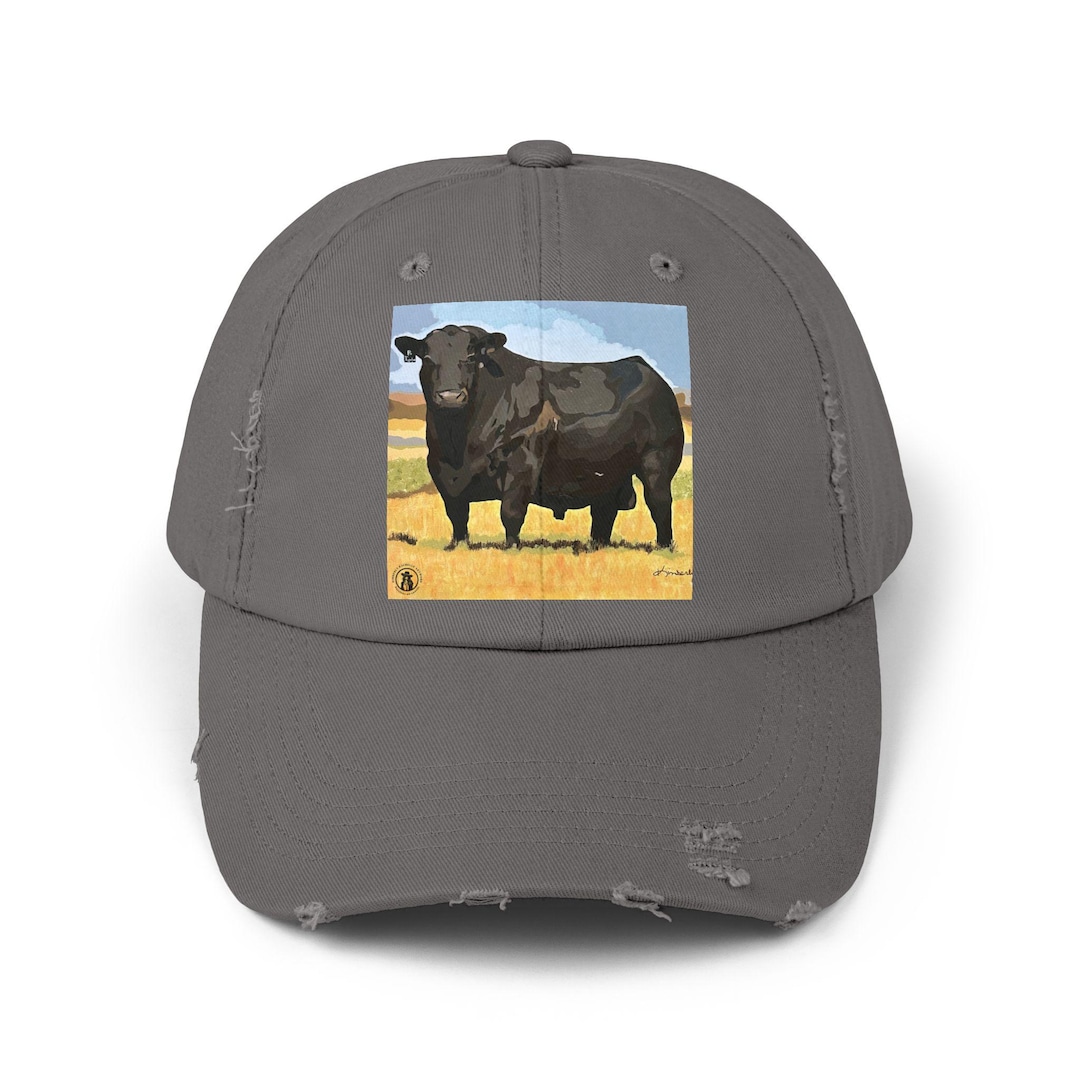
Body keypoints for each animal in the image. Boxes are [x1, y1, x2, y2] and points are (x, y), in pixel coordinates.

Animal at [392, 324, 684, 549]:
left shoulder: (521, 464)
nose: (450, 396)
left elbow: (510, 513)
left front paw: (512, 548)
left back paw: (663, 546)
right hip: (607, 473)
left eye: (471, 356)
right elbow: (457, 517)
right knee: (604, 511)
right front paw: (458, 545)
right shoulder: (442, 473)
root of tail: (644, 368)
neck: (459, 446)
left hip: (657, 460)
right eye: (428, 358)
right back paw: (597, 546)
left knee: (659, 503)